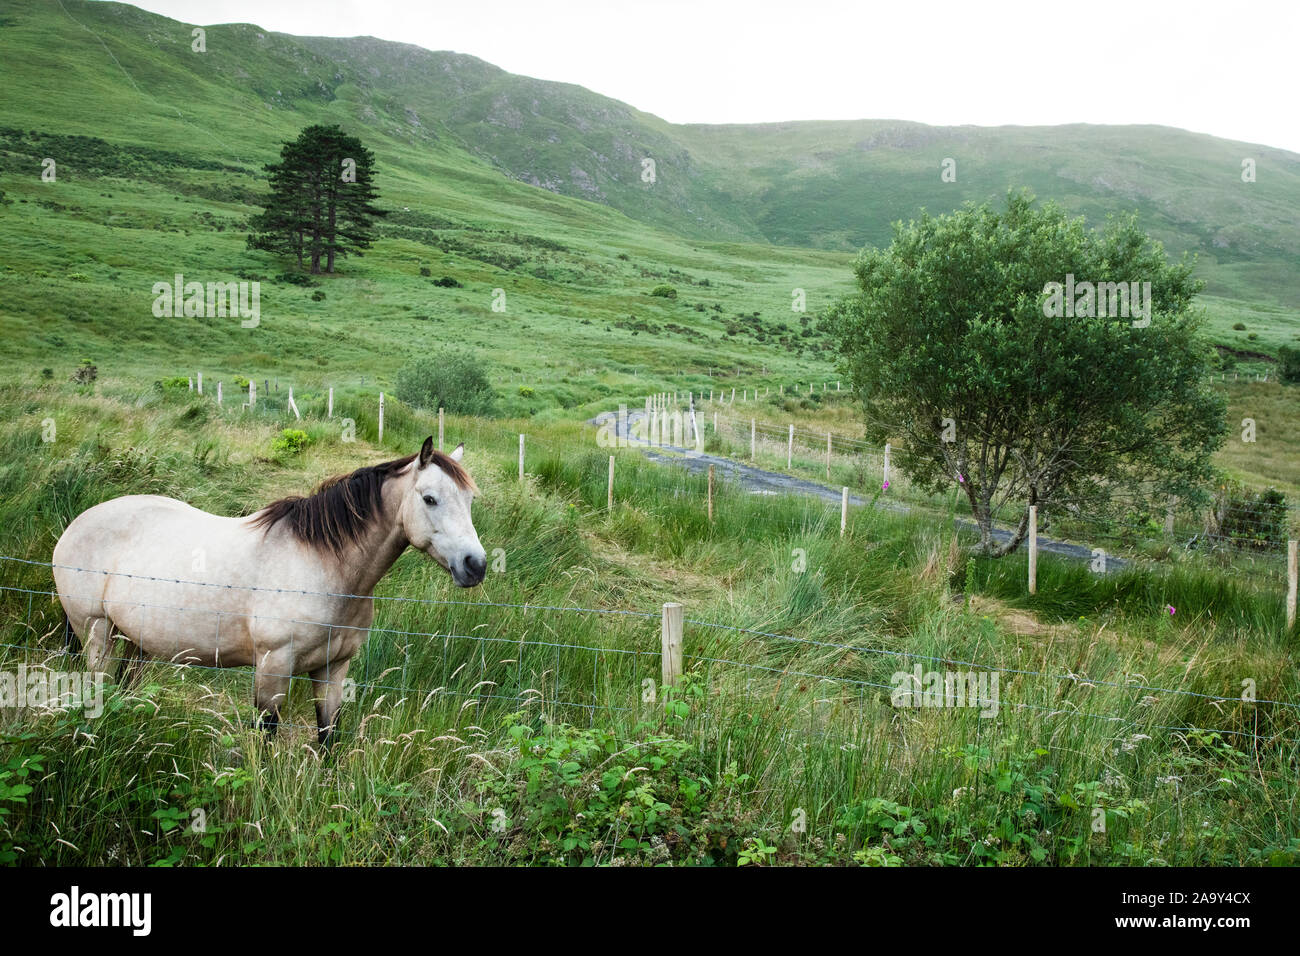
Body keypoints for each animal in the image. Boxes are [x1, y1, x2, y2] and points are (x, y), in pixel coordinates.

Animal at [52, 437, 486, 746]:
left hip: (136, 641)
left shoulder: (333, 669)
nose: (476, 565)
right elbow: (266, 736)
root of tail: (77, 523)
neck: (325, 566)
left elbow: (328, 737)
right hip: (95, 632)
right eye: (429, 499)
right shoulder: (272, 667)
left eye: (469, 500)